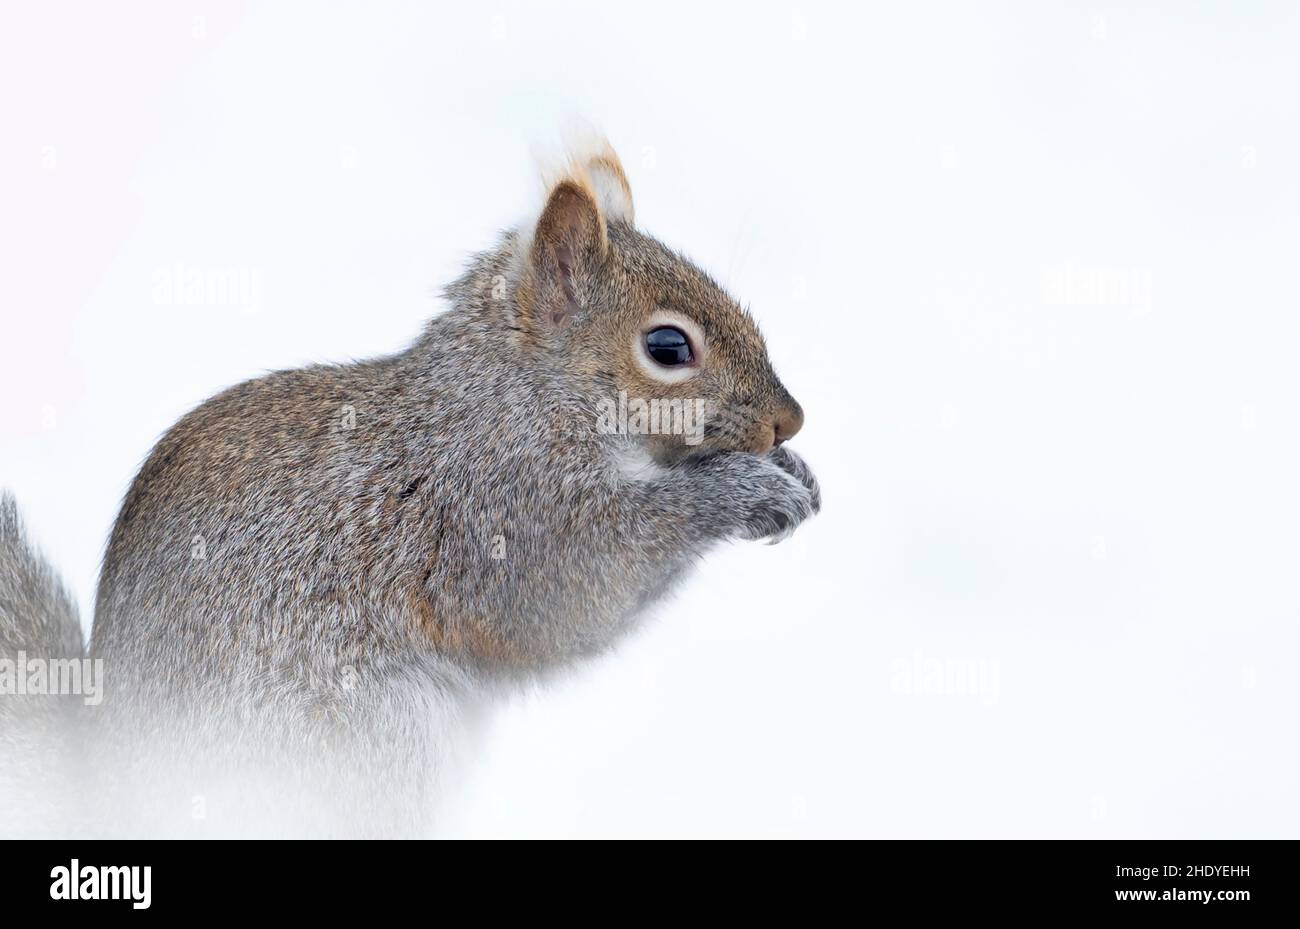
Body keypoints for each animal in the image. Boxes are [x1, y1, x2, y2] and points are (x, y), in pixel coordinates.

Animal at [0, 136, 819, 838]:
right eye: (668, 346)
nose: (791, 419)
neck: (524, 398)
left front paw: (793, 473)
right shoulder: (499, 511)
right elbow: (569, 593)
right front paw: (743, 492)